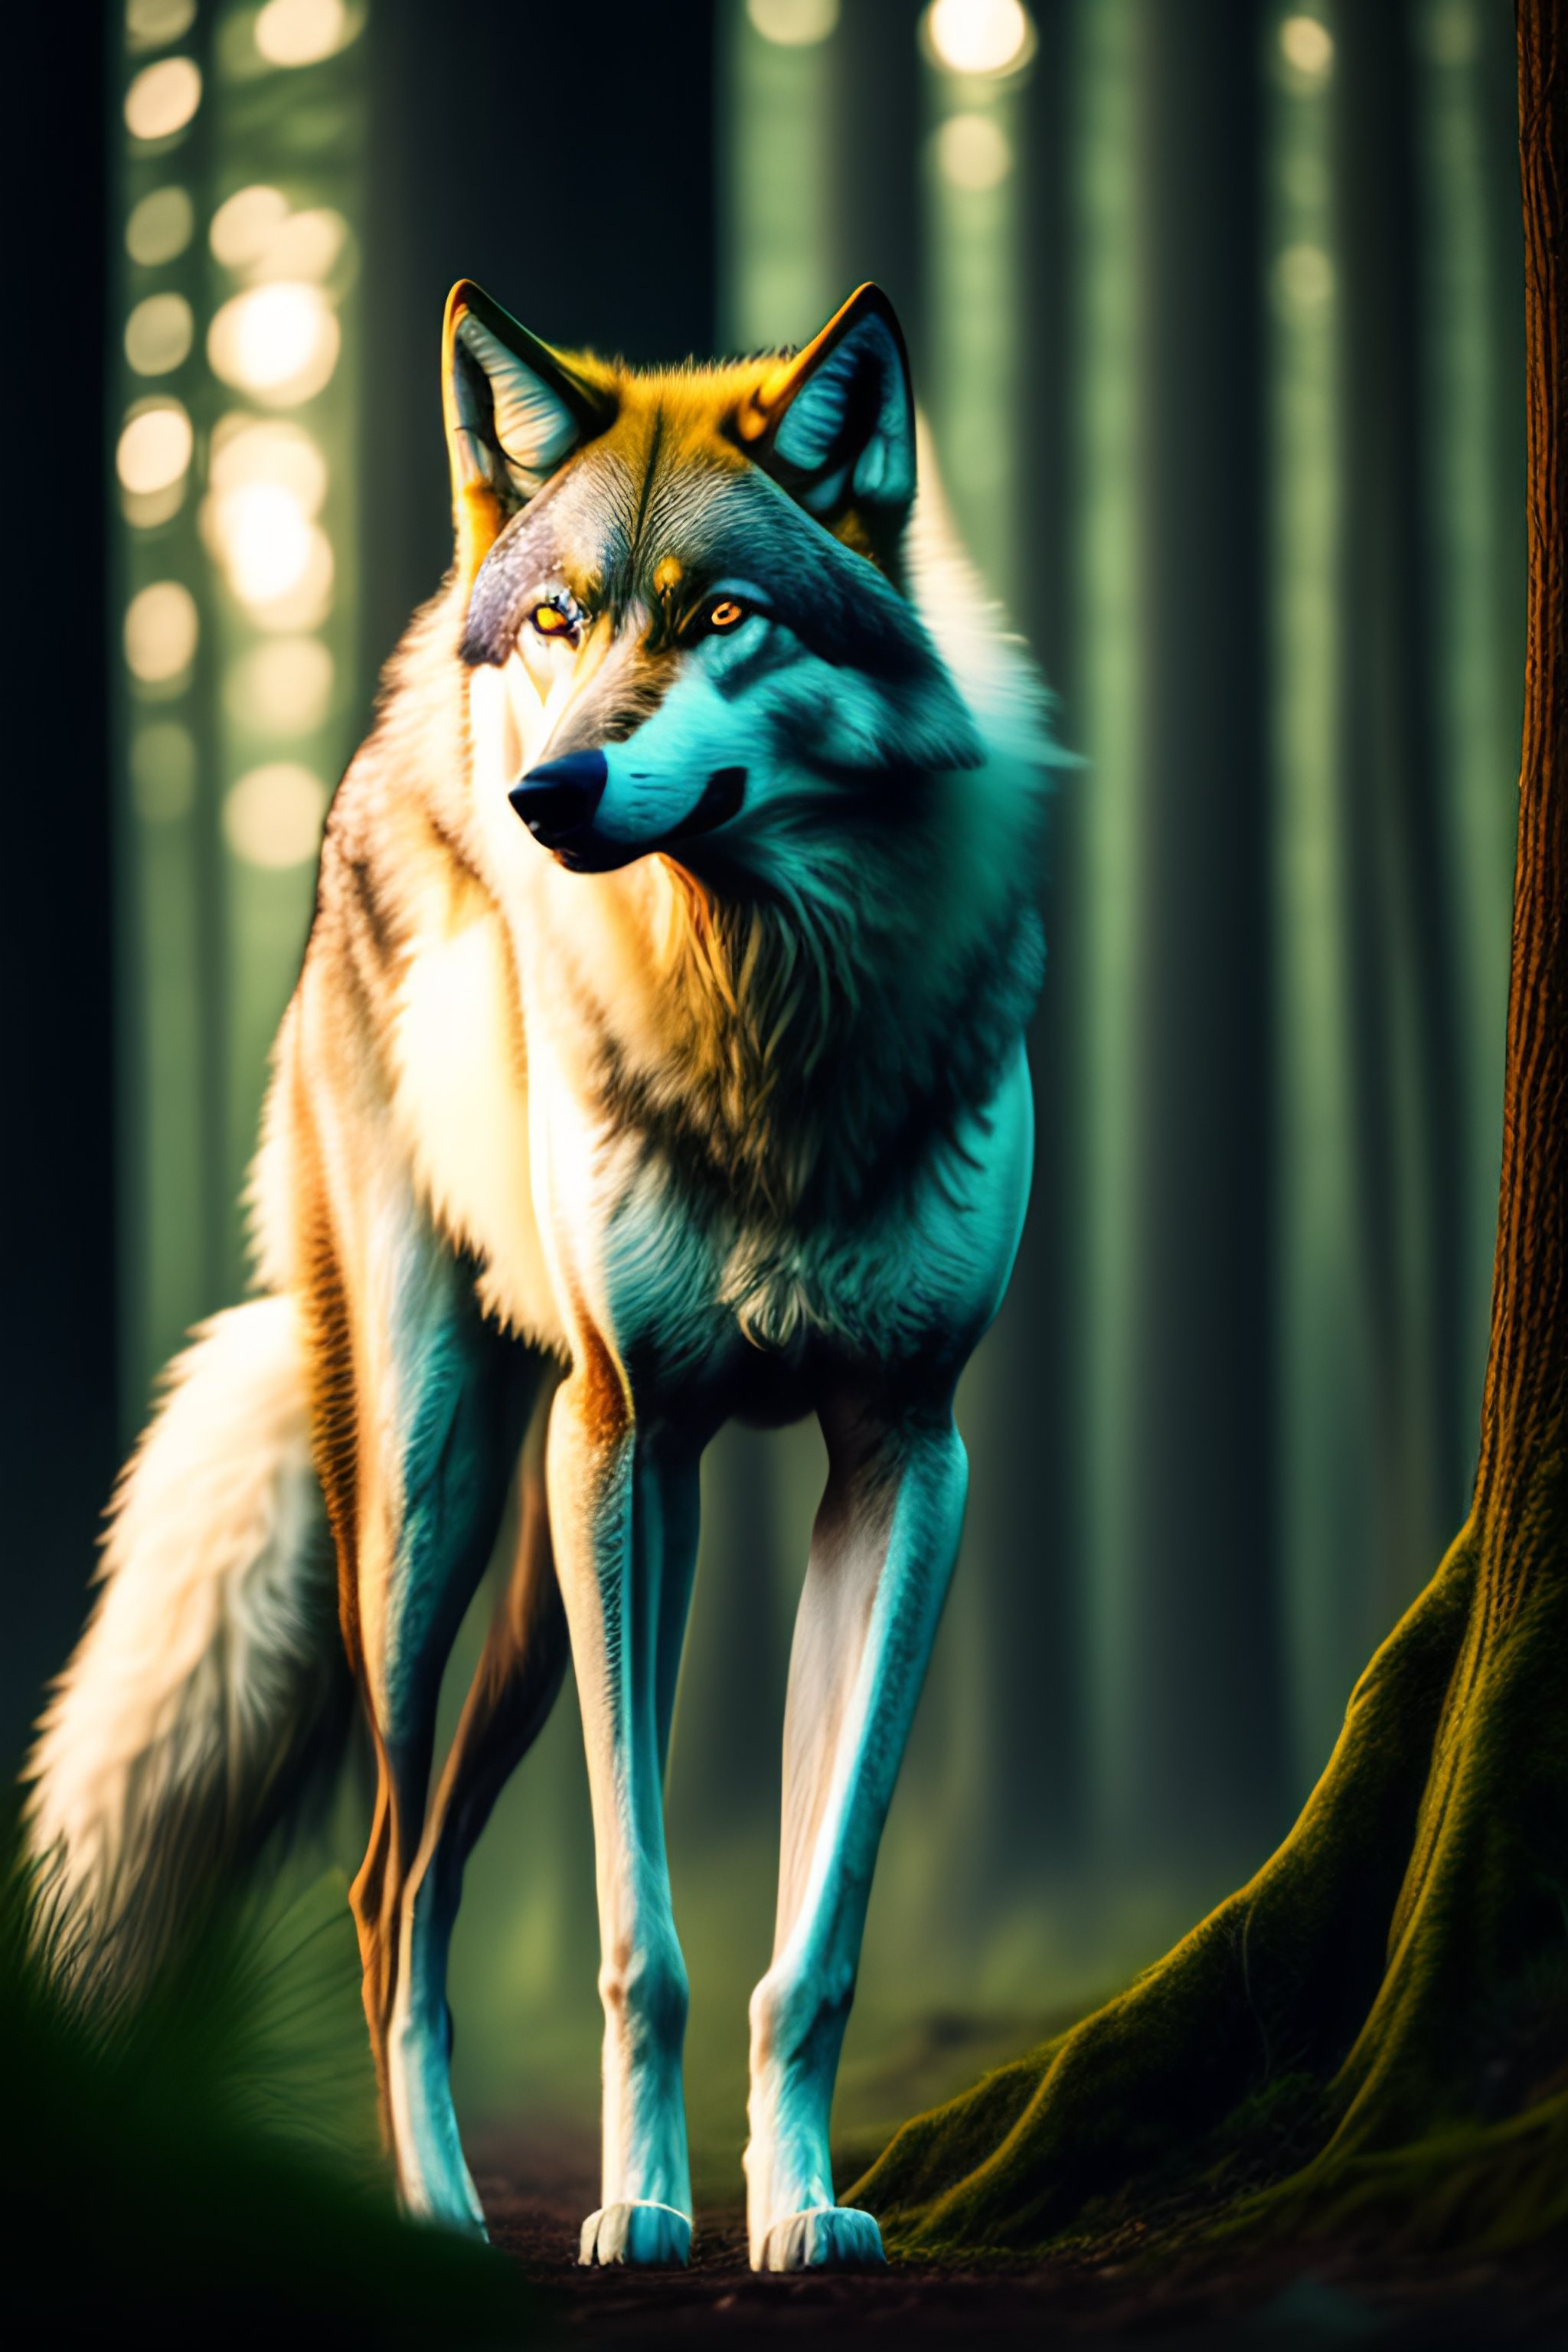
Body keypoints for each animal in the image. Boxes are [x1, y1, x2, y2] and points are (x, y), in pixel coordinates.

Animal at [25, 279, 1051, 2269]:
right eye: (564, 622)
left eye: (718, 616)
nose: (545, 791)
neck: (759, 1022)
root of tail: (387, 743)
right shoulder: (638, 1440)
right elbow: (641, 1935)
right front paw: (641, 2203)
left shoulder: (905, 1456)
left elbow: (812, 1924)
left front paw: (796, 2202)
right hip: (442, 1520)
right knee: (379, 1880)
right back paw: (437, 2218)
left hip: (543, 1573)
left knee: (421, 1865)